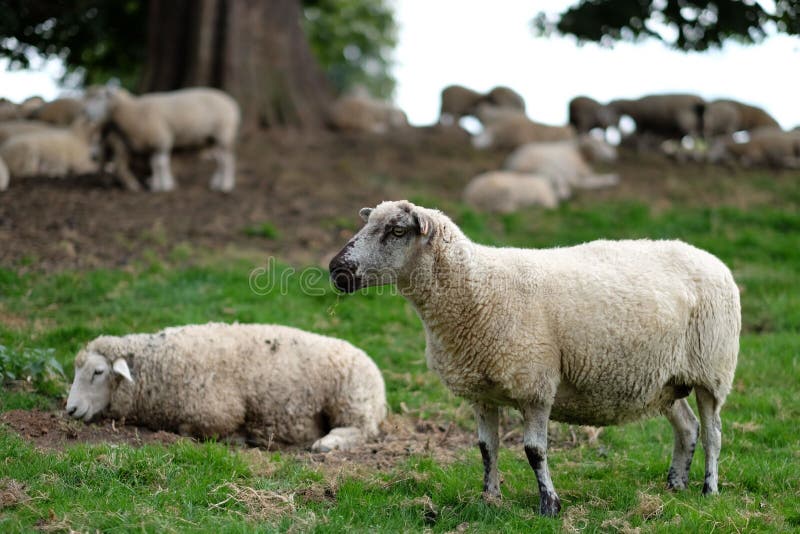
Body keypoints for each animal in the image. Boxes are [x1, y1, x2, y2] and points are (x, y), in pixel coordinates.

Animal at [65, 322, 387, 452]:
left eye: (98, 372)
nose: (70, 409)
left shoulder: (217, 412)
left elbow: (190, 430)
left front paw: (242, 438)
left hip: (351, 400)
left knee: (361, 430)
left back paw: (326, 443)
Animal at [85, 86, 240, 192]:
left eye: (99, 98)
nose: (86, 112)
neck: (133, 110)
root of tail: (233, 104)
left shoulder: (162, 139)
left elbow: (161, 163)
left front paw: (165, 186)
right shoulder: (154, 142)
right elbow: (154, 163)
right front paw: (156, 186)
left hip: (224, 133)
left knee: (228, 160)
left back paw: (226, 185)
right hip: (212, 139)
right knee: (221, 160)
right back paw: (216, 183)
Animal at [329, 200, 740, 517]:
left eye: (397, 231)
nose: (337, 270)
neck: (477, 289)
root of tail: (709, 258)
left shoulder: (536, 384)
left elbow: (534, 451)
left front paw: (549, 505)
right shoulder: (481, 391)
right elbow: (487, 448)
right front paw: (489, 498)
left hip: (712, 370)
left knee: (713, 434)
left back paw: (709, 489)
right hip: (664, 379)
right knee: (687, 428)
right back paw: (675, 484)